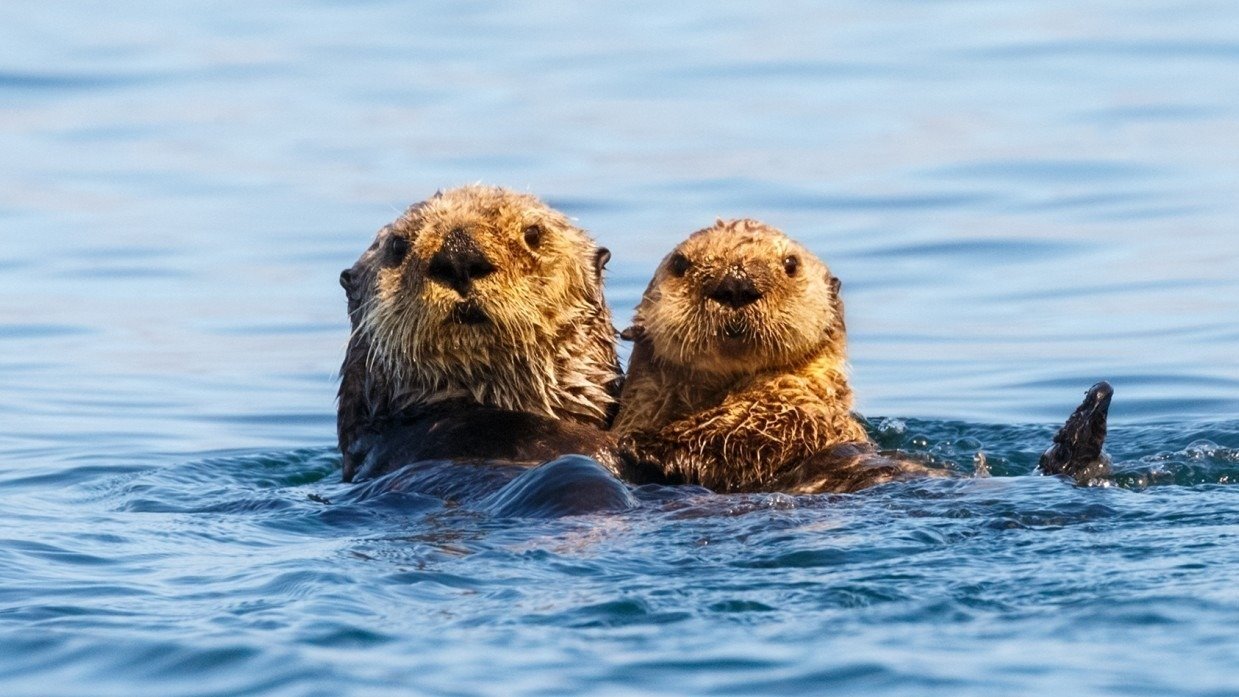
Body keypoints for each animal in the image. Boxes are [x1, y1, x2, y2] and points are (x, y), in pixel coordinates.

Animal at [614, 219, 1110, 493]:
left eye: (790, 264)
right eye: (681, 265)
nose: (735, 284)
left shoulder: (797, 413)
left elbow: (743, 441)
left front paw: (647, 444)